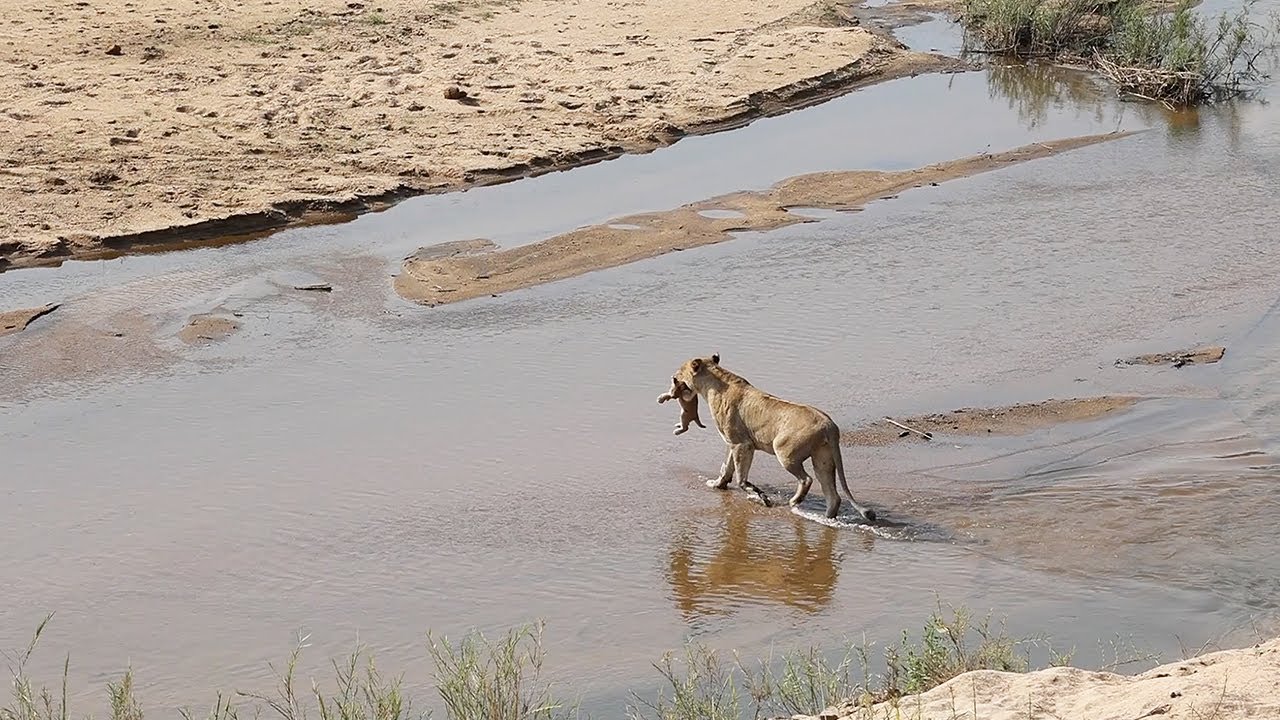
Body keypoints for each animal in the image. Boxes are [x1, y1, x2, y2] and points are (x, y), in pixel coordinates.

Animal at [672, 353, 877, 522]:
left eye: (679, 373)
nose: (672, 379)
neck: (715, 383)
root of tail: (830, 425)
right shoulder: (732, 442)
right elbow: (726, 467)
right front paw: (717, 484)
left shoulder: (742, 444)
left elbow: (740, 475)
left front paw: (759, 496)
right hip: (823, 459)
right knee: (833, 496)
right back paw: (825, 518)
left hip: (784, 451)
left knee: (806, 479)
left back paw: (795, 502)